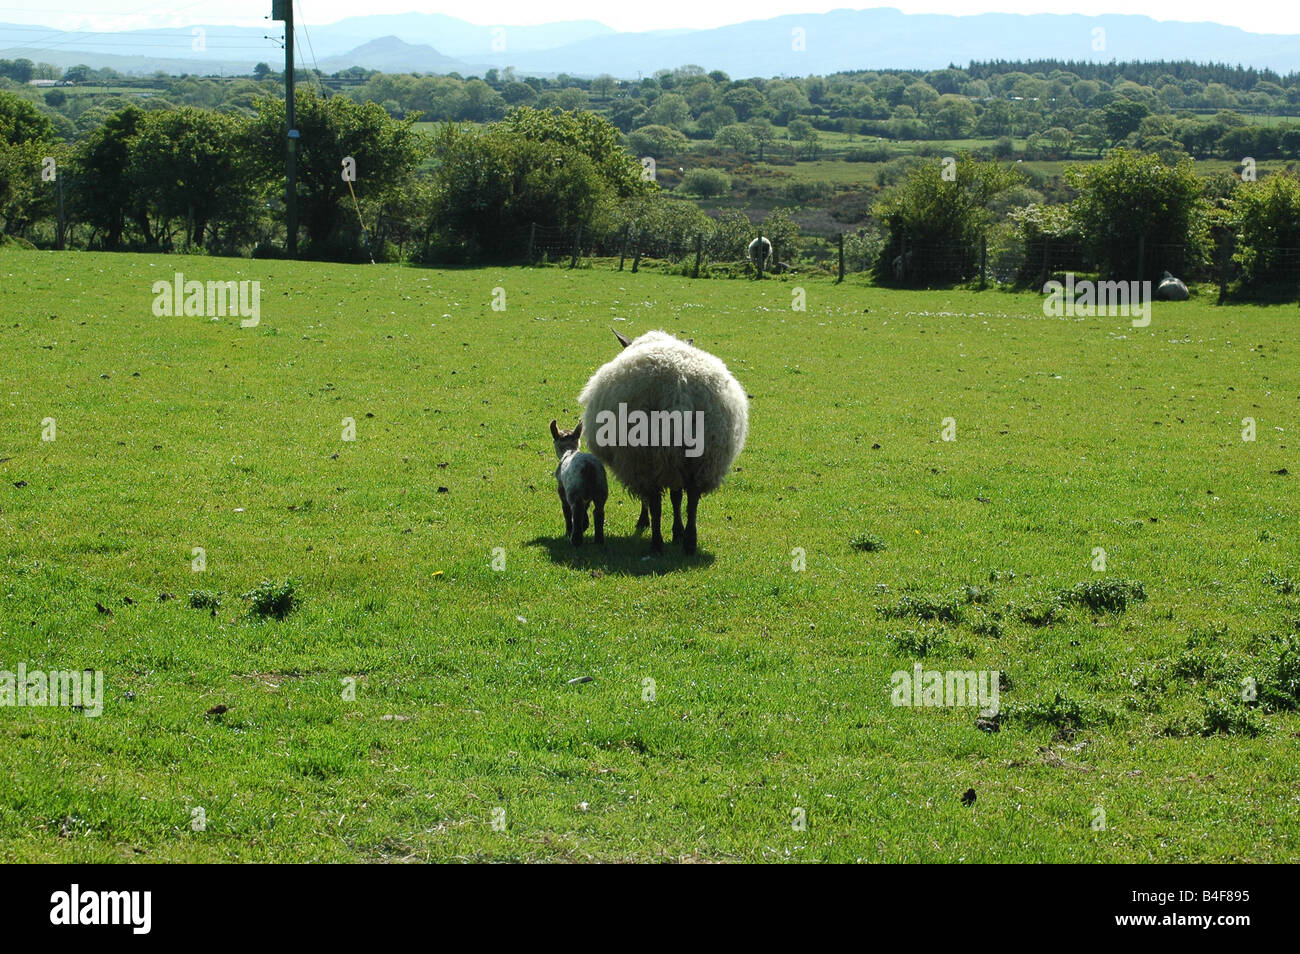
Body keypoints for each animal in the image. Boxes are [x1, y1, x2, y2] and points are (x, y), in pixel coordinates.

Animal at [579, 330, 748, 555]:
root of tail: (679, 389)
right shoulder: (676, 462)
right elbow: (677, 497)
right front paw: (678, 532)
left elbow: (655, 501)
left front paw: (646, 522)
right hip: (705, 456)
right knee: (692, 498)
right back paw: (690, 541)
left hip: (645, 453)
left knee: (655, 501)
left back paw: (657, 543)